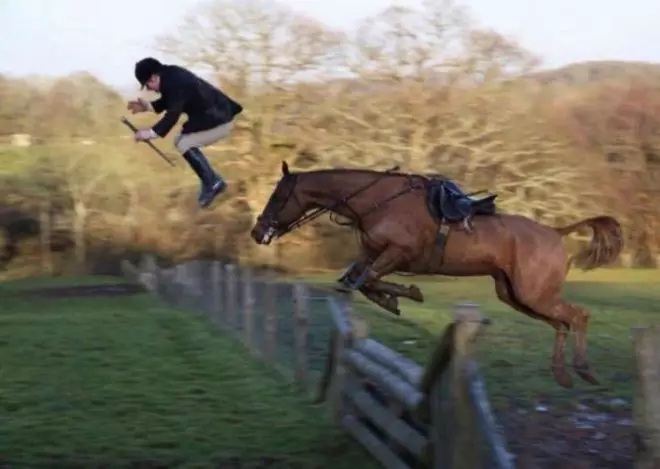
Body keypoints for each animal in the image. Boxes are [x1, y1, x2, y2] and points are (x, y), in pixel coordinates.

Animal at [249, 161, 624, 388]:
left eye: (278, 196)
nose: (257, 232)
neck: (377, 201)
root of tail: (556, 232)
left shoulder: (398, 253)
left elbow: (367, 280)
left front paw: (405, 294)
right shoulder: (373, 255)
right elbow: (358, 280)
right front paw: (393, 299)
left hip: (534, 293)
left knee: (578, 315)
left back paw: (584, 369)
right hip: (516, 295)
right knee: (562, 323)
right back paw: (562, 374)